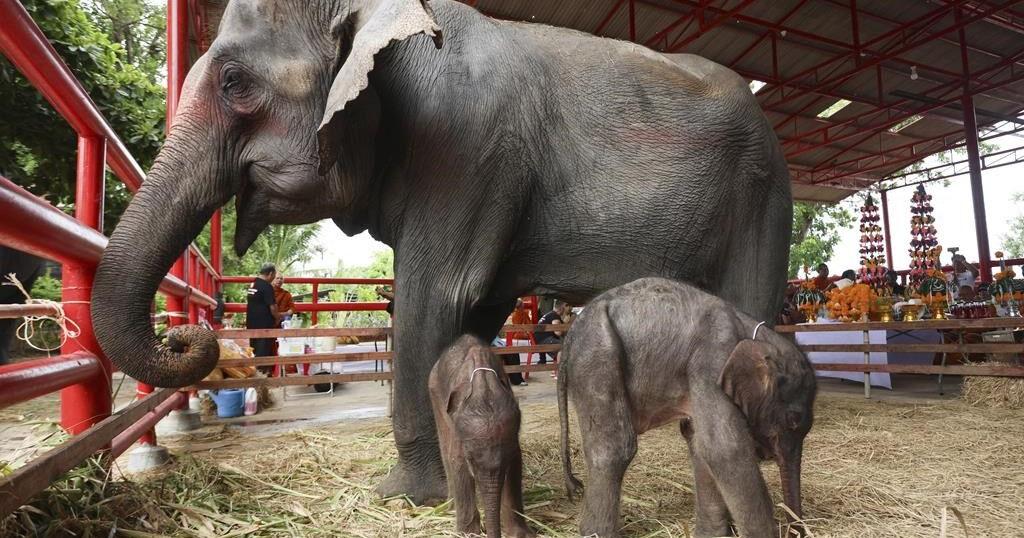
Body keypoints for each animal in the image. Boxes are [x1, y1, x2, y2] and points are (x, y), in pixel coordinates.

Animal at [90, 0, 793, 503]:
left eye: (235, 81)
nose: (190, 336)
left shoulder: (463, 150)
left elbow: (434, 298)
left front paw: (406, 496)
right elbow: (470, 318)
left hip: (763, 192)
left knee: (750, 307)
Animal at [428, 335, 533, 538]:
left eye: (507, 459)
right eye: (471, 461)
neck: (483, 385)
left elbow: (517, 462)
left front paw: (521, 534)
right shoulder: (458, 426)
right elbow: (457, 460)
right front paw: (468, 534)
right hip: (434, 391)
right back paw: (451, 507)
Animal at [557, 278, 816, 537]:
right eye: (792, 419)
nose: (795, 531)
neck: (754, 332)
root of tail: (571, 335)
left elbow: (699, 444)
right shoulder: (712, 361)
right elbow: (724, 449)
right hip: (597, 357)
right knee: (615, 448)